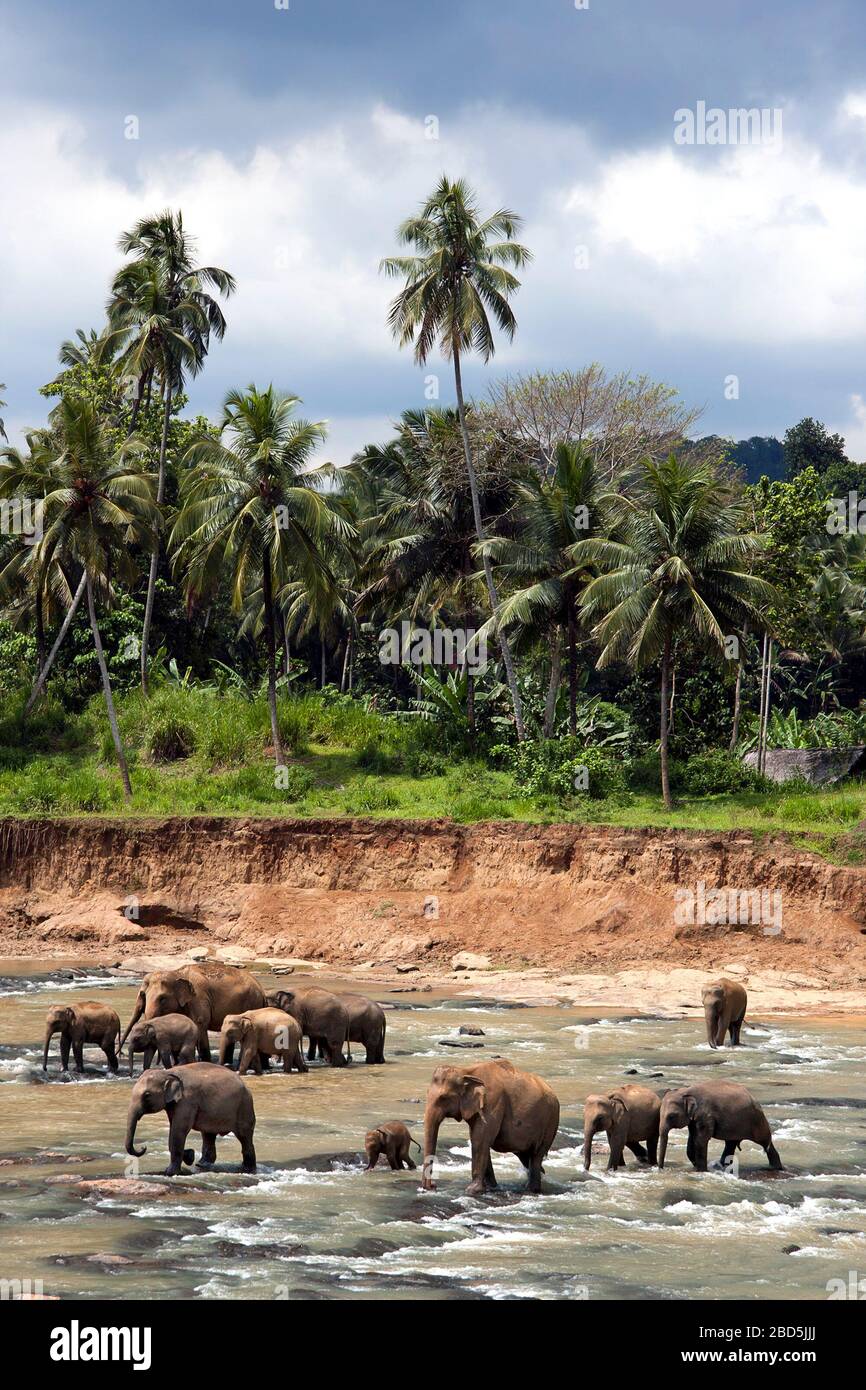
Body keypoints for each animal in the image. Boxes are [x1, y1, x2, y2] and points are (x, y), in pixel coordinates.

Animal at [120, 962, 265, 1062]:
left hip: (252, 1002)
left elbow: (200, 1025)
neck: (177, 973)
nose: (121, 1054)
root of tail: (261, 990)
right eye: (143, 995)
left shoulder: (198, 998)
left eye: (162, 999)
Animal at [125, 1062, 257, 1176]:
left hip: (244, 1107)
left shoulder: (187, 1100)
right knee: (208, 1135)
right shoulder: (174, 1103)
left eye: (147, 1095)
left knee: (244, 1136)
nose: (143, 1147)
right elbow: (174, 1128)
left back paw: (248, 1169)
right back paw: (201, 1164)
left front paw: (170, 1172)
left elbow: (179, 1129)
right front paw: (190, 1156)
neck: (168, 1072)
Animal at [421, 1058, 560, 1196]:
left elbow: (479, 1140)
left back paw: (531, 1190)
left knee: (536, 1155)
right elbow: (481, 1141)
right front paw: (491, 1188)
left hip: (551, 1121)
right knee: (526, 1156)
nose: (433, 1186)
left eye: (443, 1097)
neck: (466, 1071)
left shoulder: (493, 1103)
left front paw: (472, 1190)